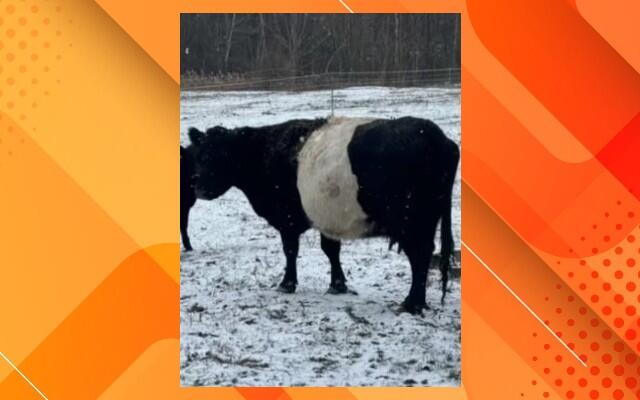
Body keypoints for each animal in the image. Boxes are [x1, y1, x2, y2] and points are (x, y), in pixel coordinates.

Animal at [184, 116, 459, 314]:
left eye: (220, 155)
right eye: (199, 155)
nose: (199, 189)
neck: (264, 151)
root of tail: (437, 137)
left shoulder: (287, 218)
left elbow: (290, 250)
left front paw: (287, 284)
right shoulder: (329, 218)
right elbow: (331, 250)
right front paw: (338, 286)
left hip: (412, 222)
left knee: (419, 255)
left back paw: (411, 304)